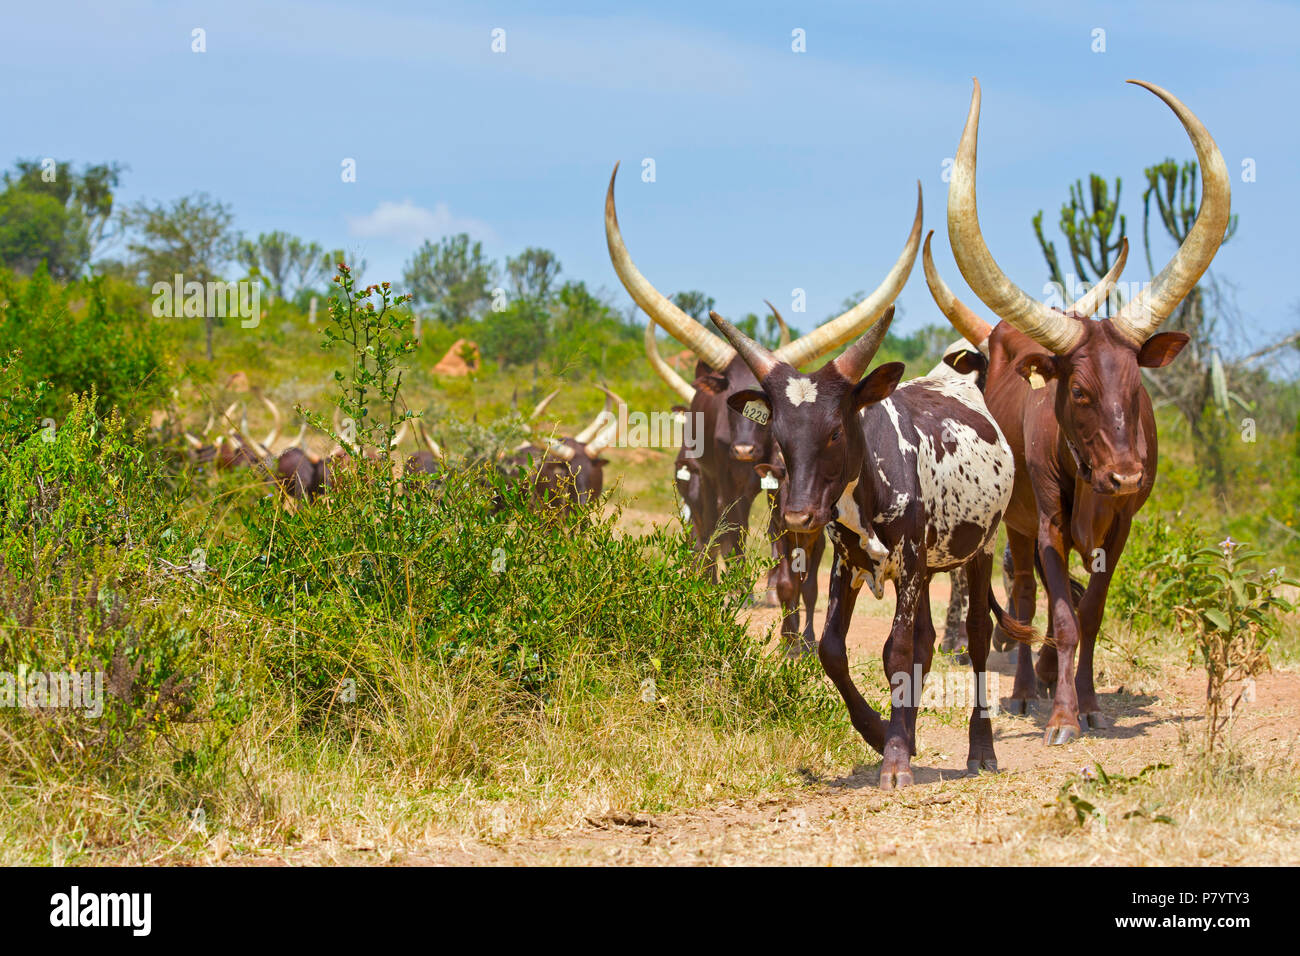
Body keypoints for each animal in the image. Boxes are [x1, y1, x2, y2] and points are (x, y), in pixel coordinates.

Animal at [609, 163, 924, 578]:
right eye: (728, 393)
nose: (743, 449)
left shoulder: (776, 481)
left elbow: (780, 537)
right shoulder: (723, 480)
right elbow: (728, 533)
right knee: (710, 528)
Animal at [710, 304, 1034, 787]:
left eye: (833, 433)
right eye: (781, 437)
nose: (797, 516)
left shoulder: (912, 563)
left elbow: (896, 651)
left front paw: (895, 759)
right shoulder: (849, 565)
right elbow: (832, 649)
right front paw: (883, 734)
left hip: (981, 549)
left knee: (975, 636)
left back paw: (981, 748)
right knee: (925, 640)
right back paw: (910, 731)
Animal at [934, 78, 1229, 744]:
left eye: (1138, 387)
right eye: (1078, 392)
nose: (1125, 474)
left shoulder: (1119, 530)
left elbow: (1089, 614)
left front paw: (1089, 705)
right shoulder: (1048, 523)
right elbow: (1061, 613)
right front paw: (1063, 716)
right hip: (1017, 524)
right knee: (1022, 595)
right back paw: (1024, 690)